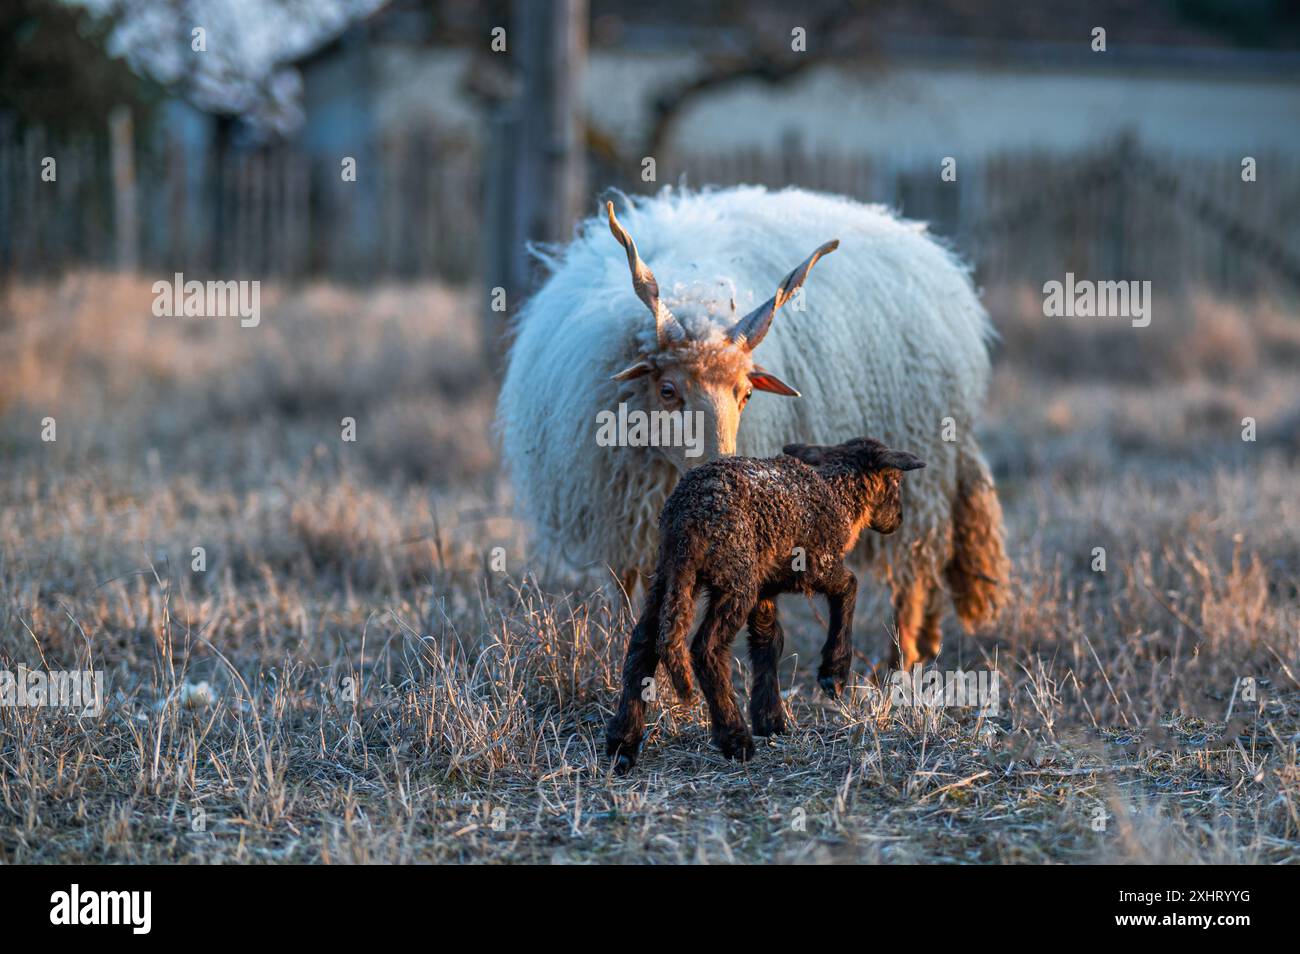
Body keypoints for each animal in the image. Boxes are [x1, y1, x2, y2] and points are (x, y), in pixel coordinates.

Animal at [497, 185, 1008, 673]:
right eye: (667, 390)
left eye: (745, 395)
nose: (718, 463)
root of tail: (927, 246)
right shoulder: (624, 520)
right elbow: (630, 596)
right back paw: (928, 644)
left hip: (922, 475)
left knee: (915, 569)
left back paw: (904, 657)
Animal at [605, 438, 926, 772]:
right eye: (895, 482)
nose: (899, 519)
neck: (839, 497)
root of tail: (687, 517)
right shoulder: (814, 567)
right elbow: (850, 586)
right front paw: (833, 675)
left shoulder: (765, 590)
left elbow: (769, 642)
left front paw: (770, 719)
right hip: (735, 575)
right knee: (706, 649)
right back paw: (735, 739)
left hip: (669, 574)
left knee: (643, 642)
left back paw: (623, 744)